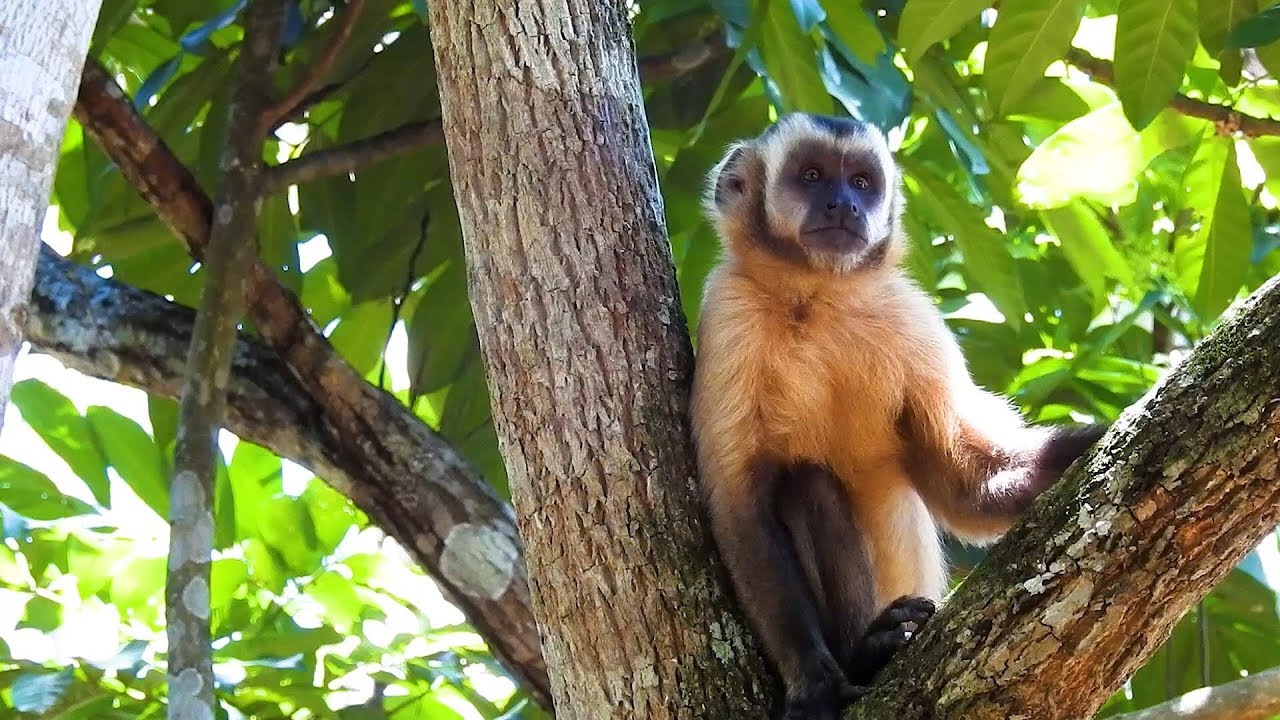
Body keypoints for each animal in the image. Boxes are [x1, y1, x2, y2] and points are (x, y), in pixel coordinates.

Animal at [688, 112, 1107, 719]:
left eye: (862, 182)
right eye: (812, 175)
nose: (843, 204)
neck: (815, 297)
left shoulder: (914, 321)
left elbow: (961, 487)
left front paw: (1082, 447)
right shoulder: (726, 312)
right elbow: (738, 505)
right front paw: (813, 683)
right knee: (804, 485)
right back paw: (864, 652)